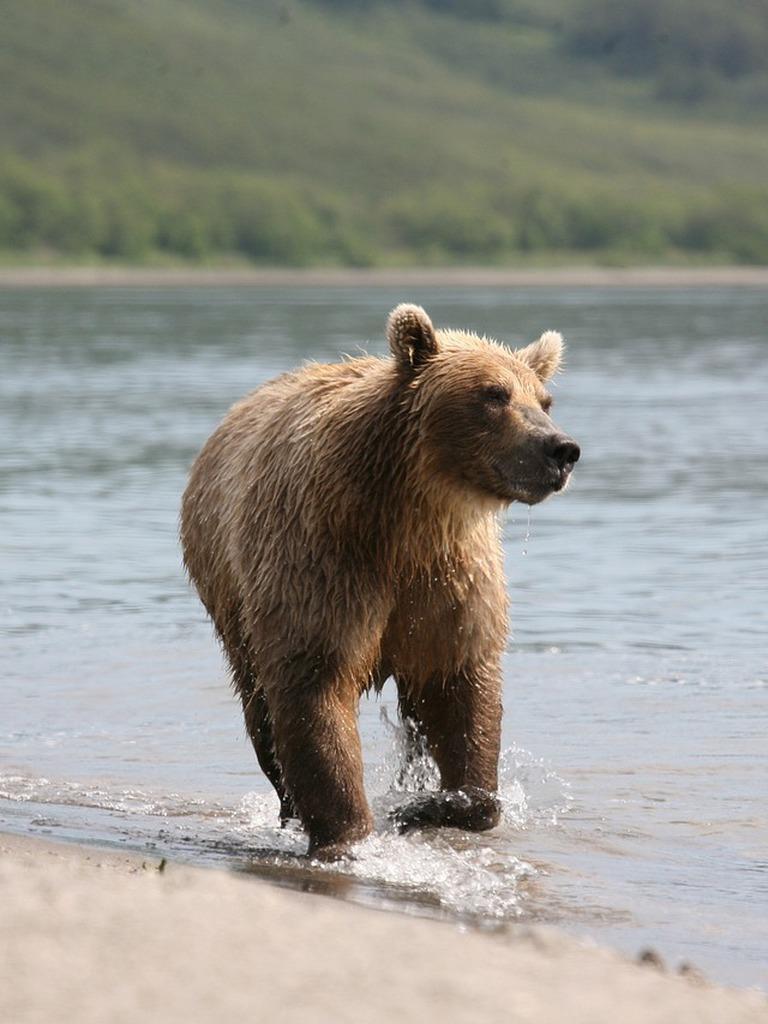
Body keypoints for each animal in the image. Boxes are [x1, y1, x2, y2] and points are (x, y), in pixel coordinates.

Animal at [180, 304, 579, 859]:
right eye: (493, 394)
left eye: (544, 400)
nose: (561, 448)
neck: (408, 518)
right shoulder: (325, 561)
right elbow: (316, 690)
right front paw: (348, 834)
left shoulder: (450, 584)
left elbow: (465, 695)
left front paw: (426, 806)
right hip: (232, 599)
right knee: (259, 711)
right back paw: (287, 807)